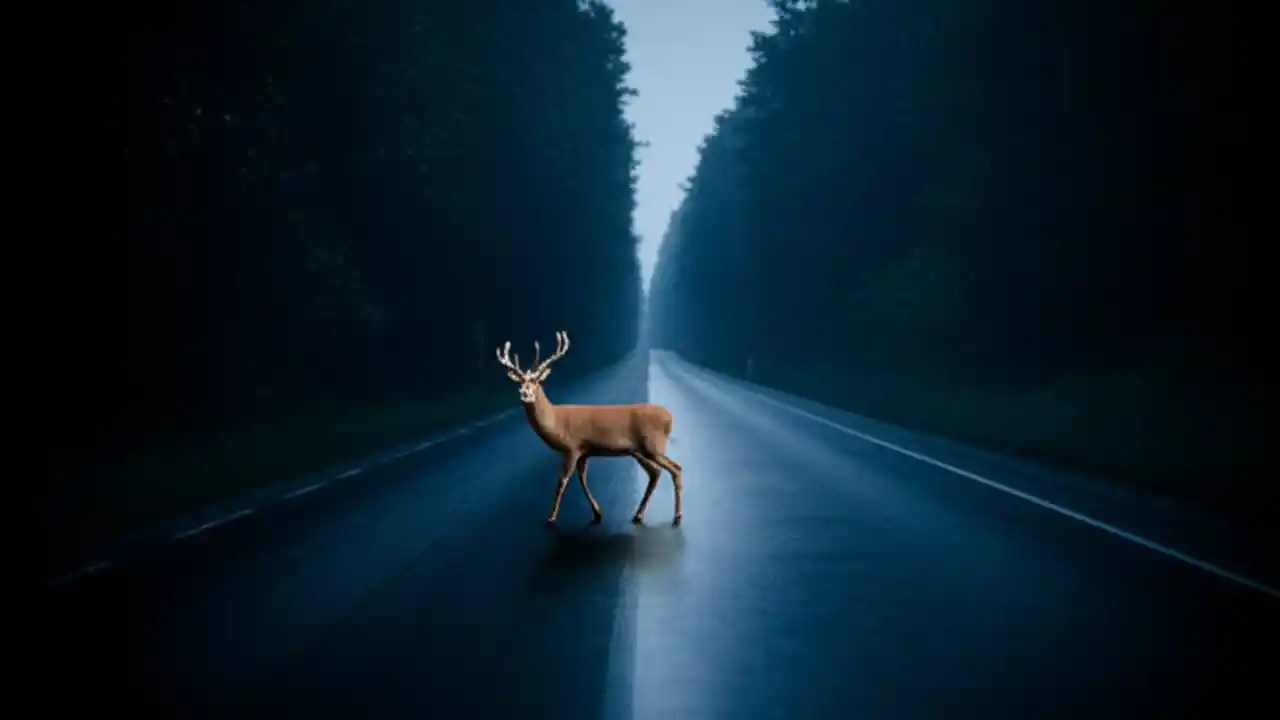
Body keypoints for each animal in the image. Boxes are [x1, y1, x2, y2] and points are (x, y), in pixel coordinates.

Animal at [496, 330, 684, 526]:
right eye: (520, 382)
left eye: (537, 381)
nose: (525, 393)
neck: (555, 421)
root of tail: (670, 417)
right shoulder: (584, 451)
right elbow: (582, 479)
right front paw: (597, 513)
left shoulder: (572, 447)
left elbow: (562, 480)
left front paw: (551, 517)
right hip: (639, 451)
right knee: (656, 472)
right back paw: (638, 515)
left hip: (654, 445)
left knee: (676, 468)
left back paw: (677, 517)